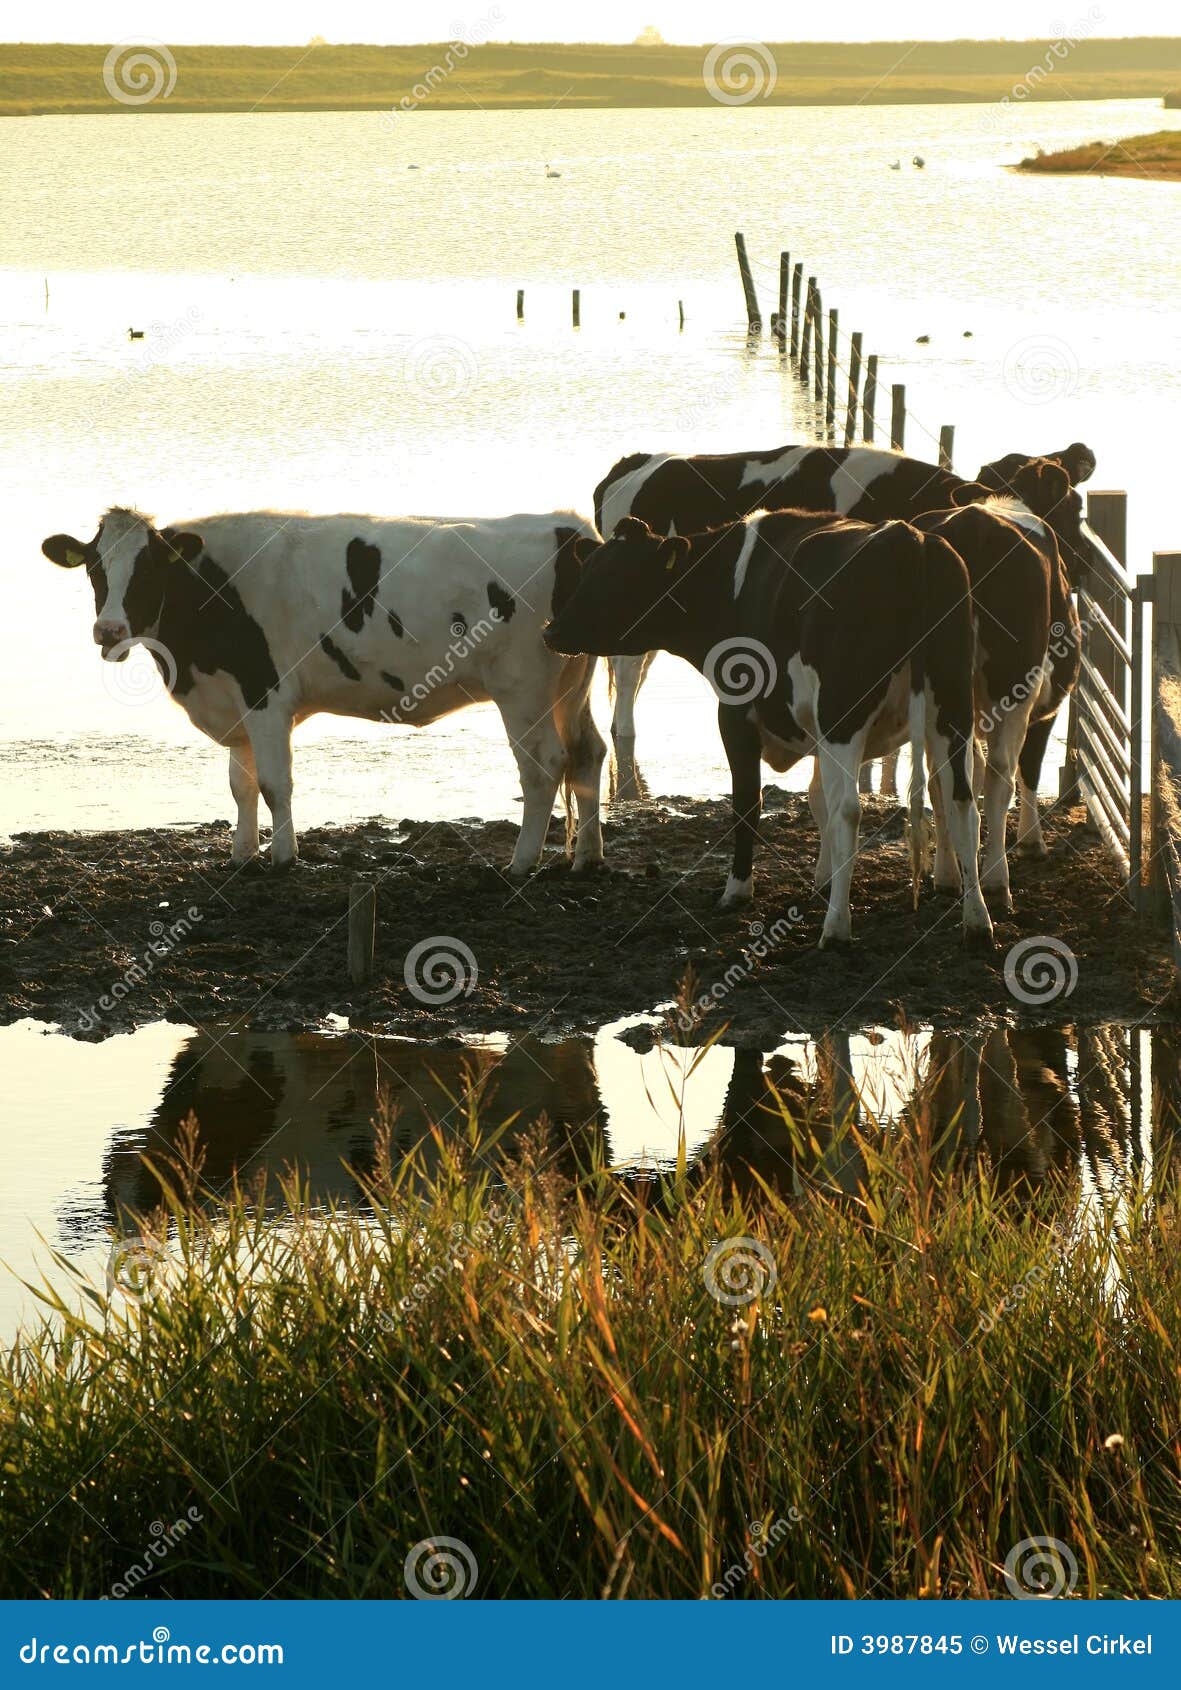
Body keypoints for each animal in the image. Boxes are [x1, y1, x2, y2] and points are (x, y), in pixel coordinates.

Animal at [42, 507, 606, 876]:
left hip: (522, 691)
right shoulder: (236, 700)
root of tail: (566, 525)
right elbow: (240, 784)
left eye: (150, 570)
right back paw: (587, 858)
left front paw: (283, 858)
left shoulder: (265, 695)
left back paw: (521, 863)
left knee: (543, 767)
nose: (109, 630)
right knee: (587, 753)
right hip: (569, 686)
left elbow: (273, 783)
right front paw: (241, 854)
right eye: (95, 568)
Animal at [545, 510, 994, 949]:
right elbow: (817, 798)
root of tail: (907, 538)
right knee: (962, 804)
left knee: (851, 808)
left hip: (844, 715)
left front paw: (737, 890)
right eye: (589, 569)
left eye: (616, 575)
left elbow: (749, 803)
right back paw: (977, 922)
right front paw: (824, 878)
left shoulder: (736, 714)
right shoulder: (815, 730)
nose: (552, 630)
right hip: (953, 709)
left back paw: (836, 927)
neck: (730, 586)